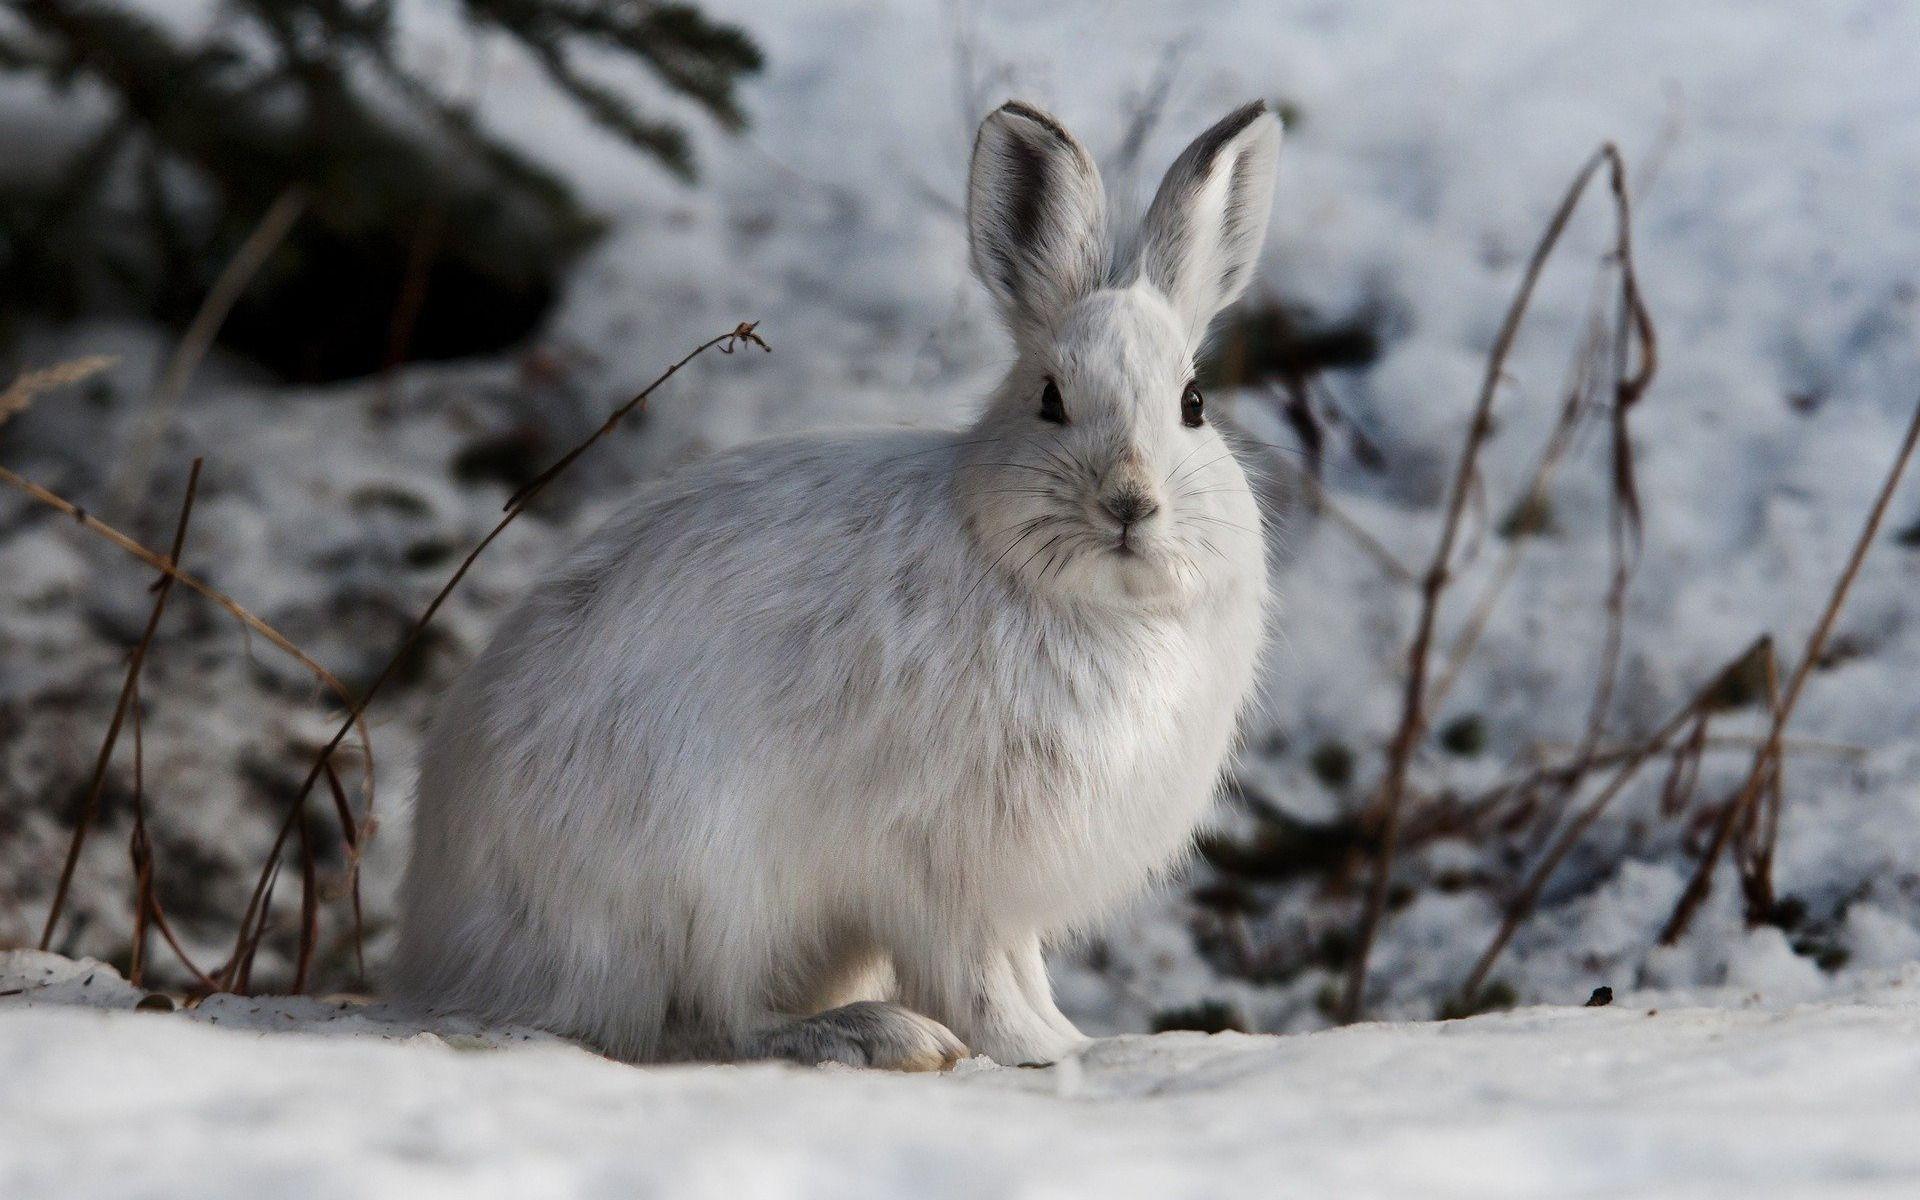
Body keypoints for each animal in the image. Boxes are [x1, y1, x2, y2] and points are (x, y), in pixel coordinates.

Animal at [394, 98, 1283, 1069]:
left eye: (1193, 406)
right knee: (706, 1021)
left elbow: (1019, 967)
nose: (1129, 502)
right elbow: (976, 973)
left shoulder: (996, 890)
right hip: (703, 881)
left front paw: (1070, 1039)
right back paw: (874, 1034)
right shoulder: (939, 863)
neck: (1088, 603)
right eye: (1050, 399)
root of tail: (454, 951)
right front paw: (1032, 1049)